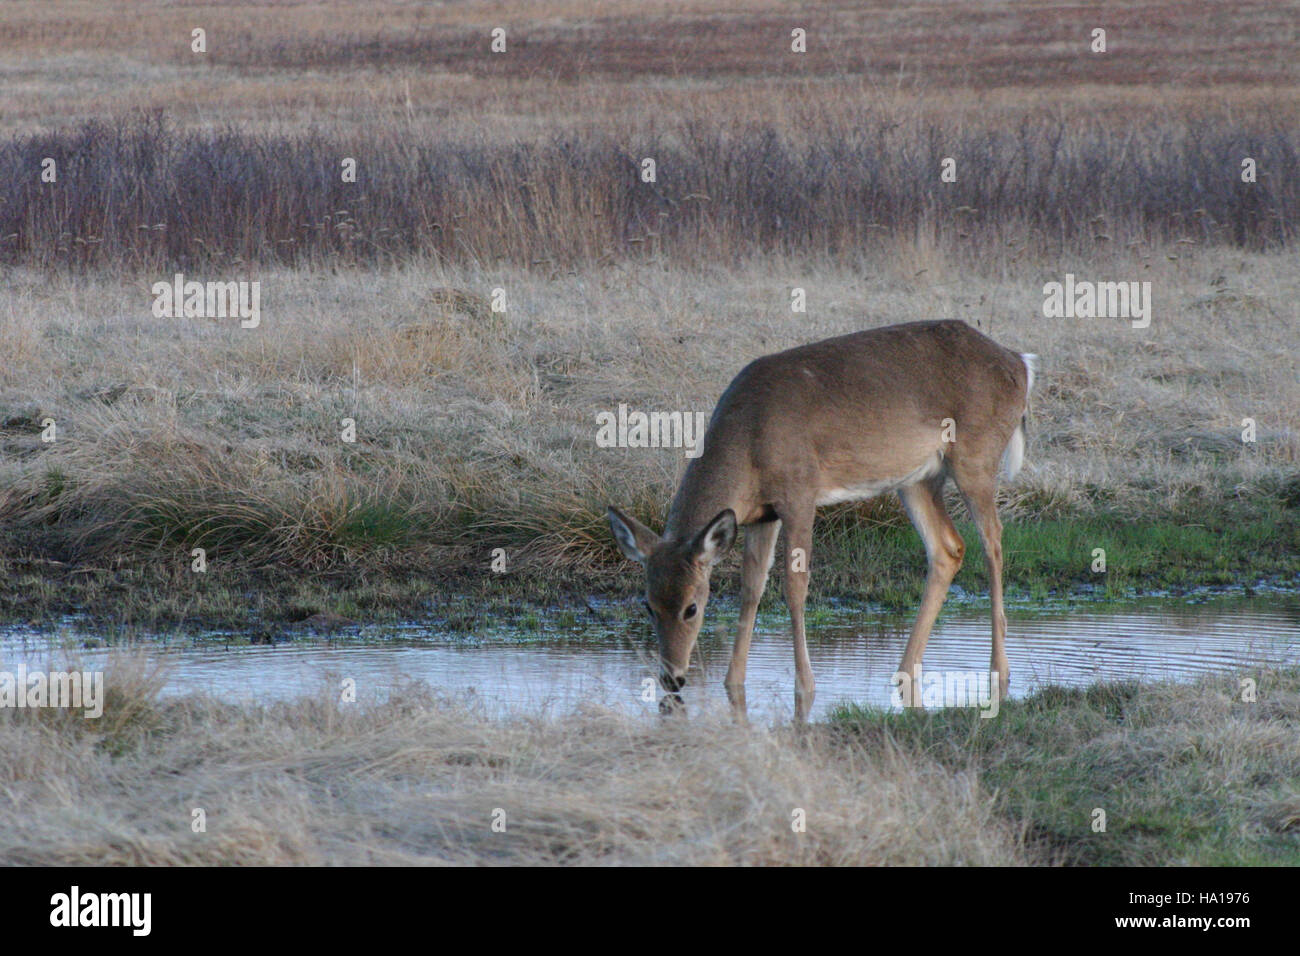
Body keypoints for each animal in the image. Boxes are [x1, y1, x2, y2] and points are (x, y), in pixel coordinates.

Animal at [608, 319, 1037, 721]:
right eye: (648, 605)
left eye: (692, 608)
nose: (672, 677)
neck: (749, 443)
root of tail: (1020, 362)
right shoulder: (761, 514)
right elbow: (752, 587)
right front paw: (734, 684)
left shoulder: (800, 492)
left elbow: (794, 587)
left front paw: (805, 687)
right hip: (916, 477)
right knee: (948, 548)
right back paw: (905, 673)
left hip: (976, 455)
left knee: (993, 543)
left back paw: (1000, 673)